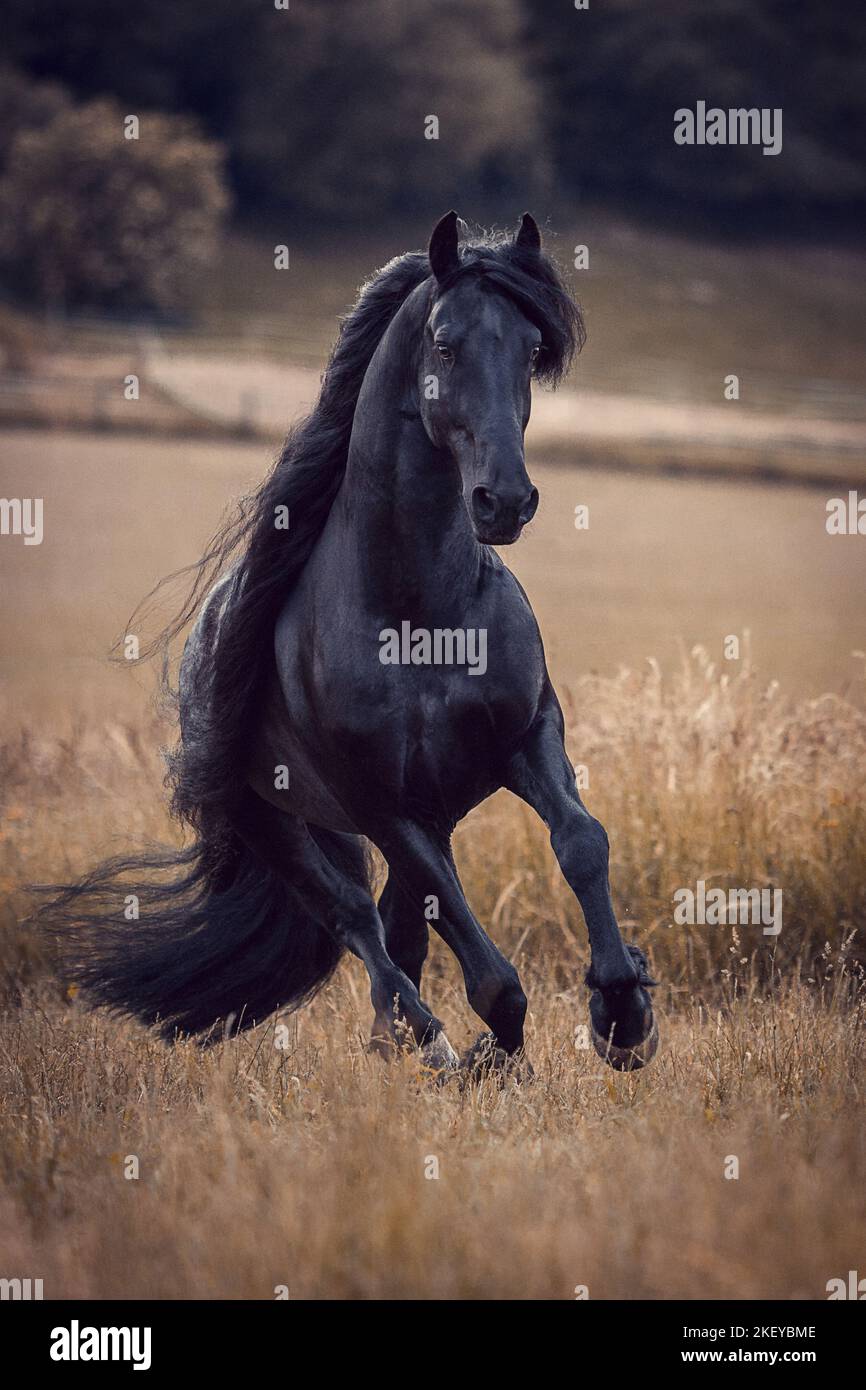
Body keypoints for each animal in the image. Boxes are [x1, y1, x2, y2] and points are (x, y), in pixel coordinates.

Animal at [44, 212, 658, 1074]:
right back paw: (425, 1046)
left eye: (532, 348)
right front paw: (492, 1050)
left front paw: (624, 1010)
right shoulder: (378, 798)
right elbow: (486, 973)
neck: (418, 618)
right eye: (444, 344)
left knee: (401, 922)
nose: (504, 501)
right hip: (283, 823)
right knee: (359, 924)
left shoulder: (528, 736)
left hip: (431, 810)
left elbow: (581, 841)